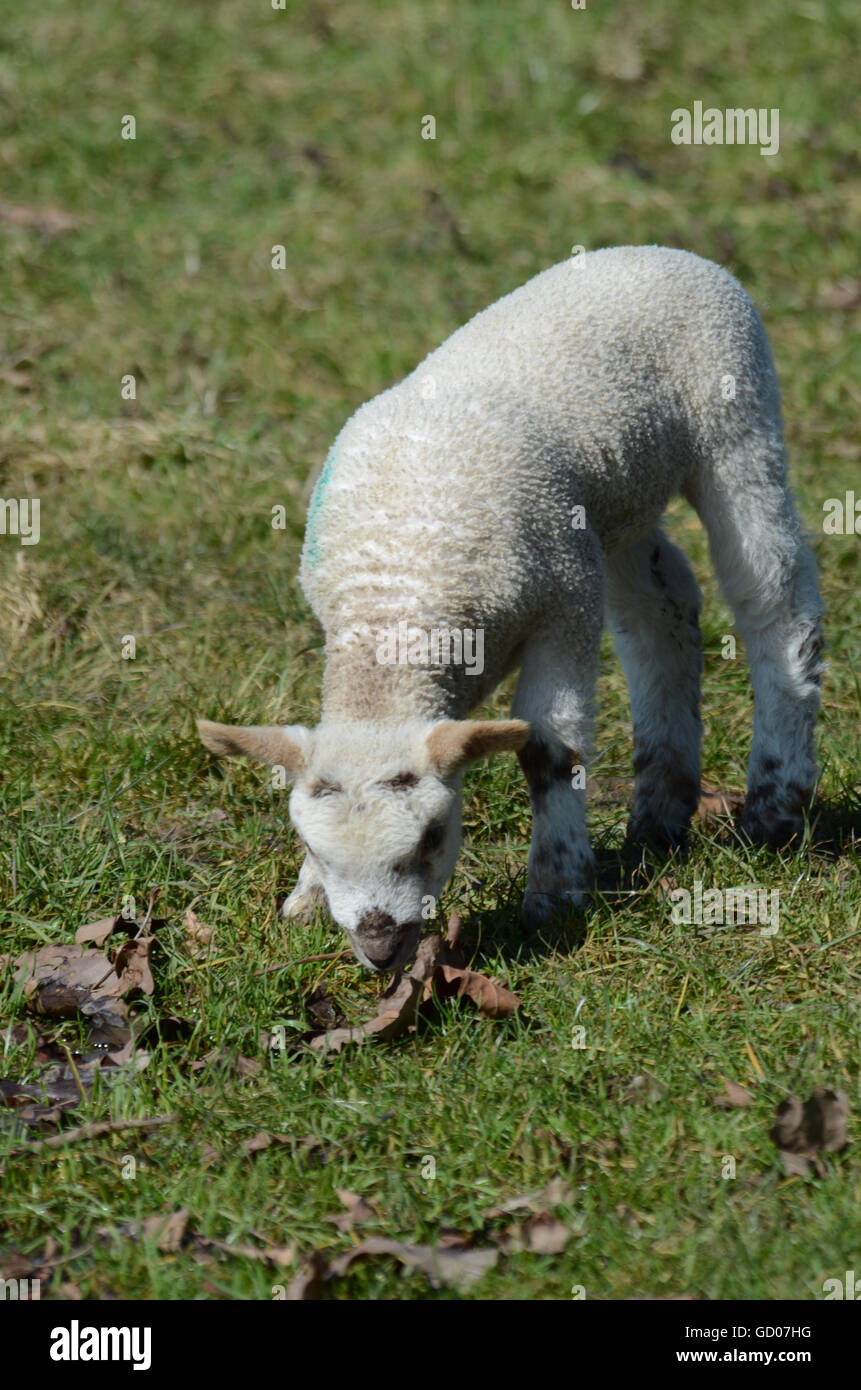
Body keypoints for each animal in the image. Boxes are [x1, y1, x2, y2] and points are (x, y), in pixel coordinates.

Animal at [198, 245, 824, 973]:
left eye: (432, 836)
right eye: (310, 846)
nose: (380, 948)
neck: (396, 598)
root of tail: (658, 251)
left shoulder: (566, 601)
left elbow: (551, 751)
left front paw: (556, 891)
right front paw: (304, 900)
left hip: (736, 419)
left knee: (774, 597)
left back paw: (774, 806)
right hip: (613, 504)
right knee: (664, 608)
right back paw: (659, 816)